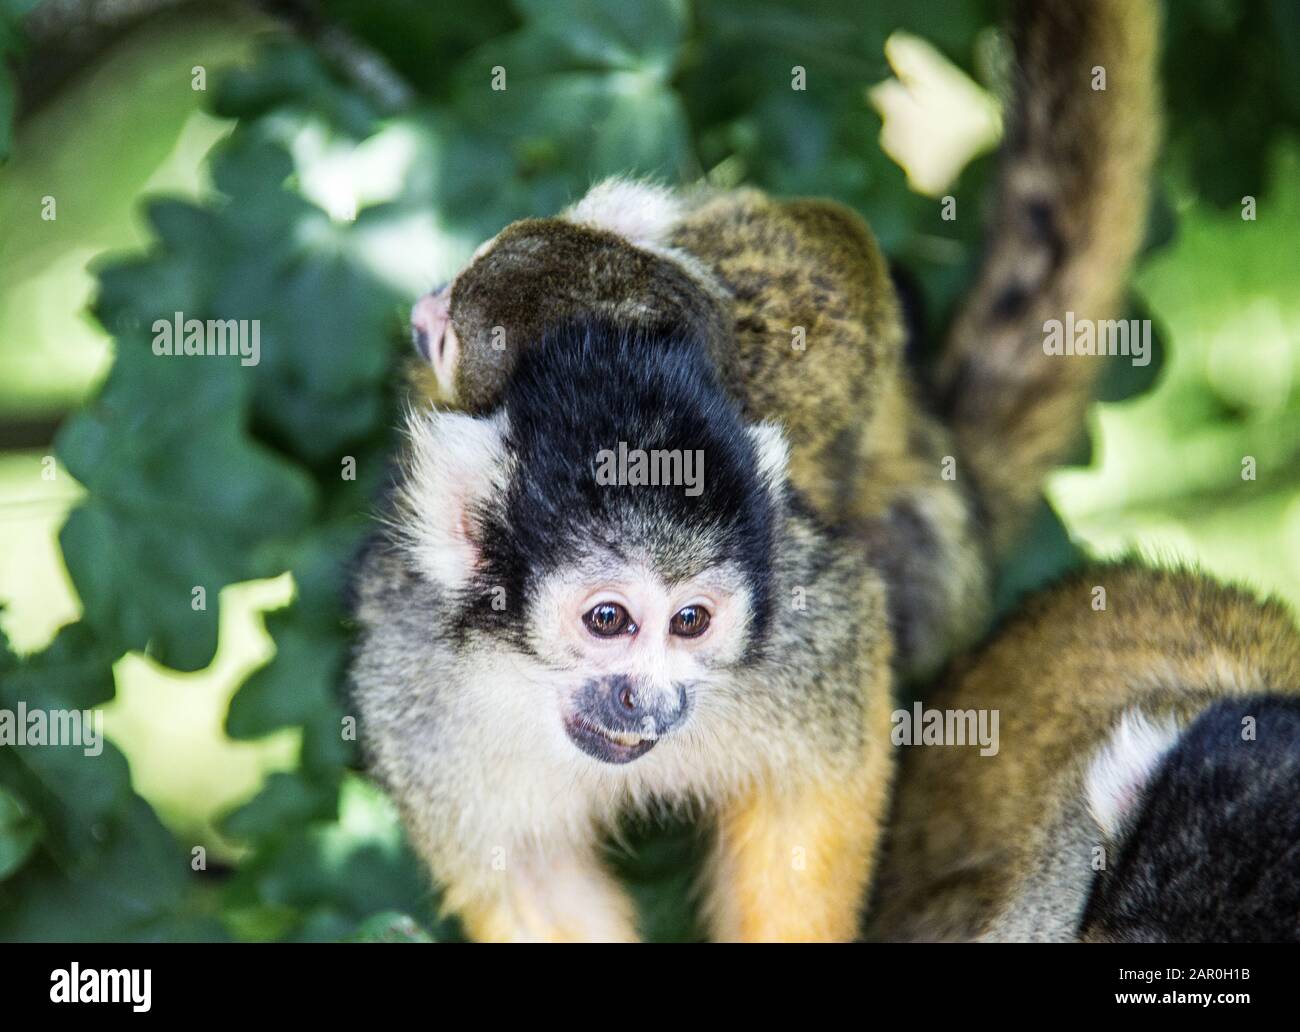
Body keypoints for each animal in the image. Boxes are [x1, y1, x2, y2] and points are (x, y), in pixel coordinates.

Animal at [349, 0, 1159, 942]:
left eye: (691, 622)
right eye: (607, 621)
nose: (650, 701)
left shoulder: (808, 625)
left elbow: (818, 788)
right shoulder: (415, 686)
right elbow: (528, 877)